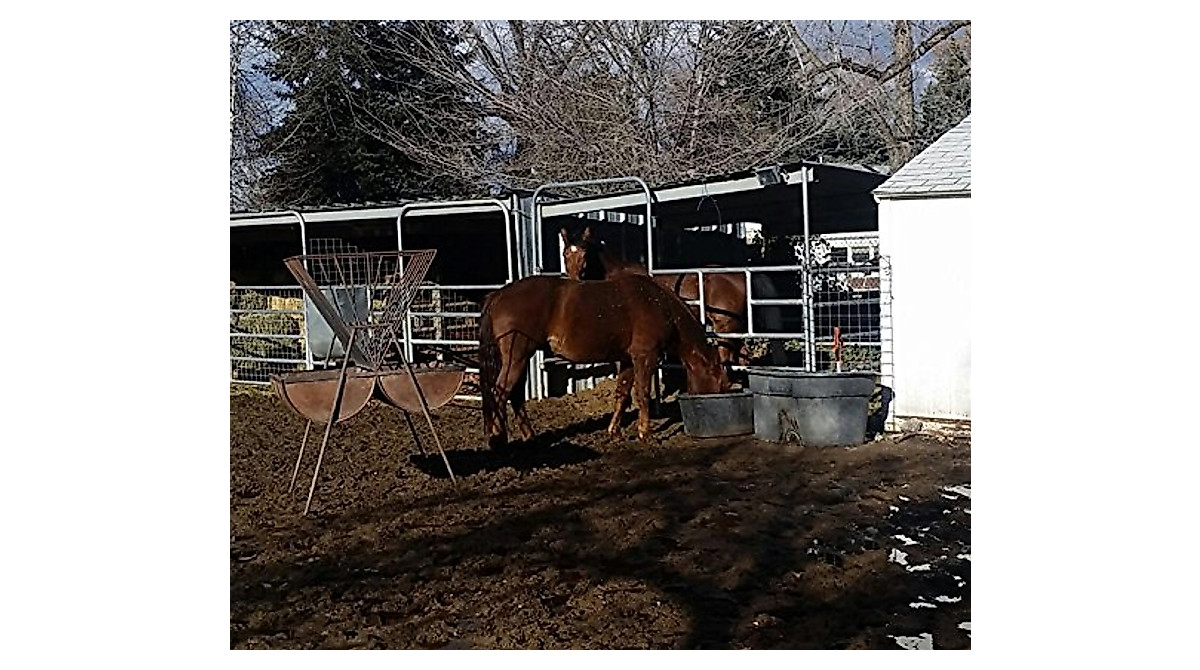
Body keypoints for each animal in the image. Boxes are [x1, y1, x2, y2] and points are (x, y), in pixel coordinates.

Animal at [478, 273, 730, 447]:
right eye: (720, 382)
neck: (659, 305)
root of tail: (499, 294)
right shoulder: (645, 357)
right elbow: (642, 395)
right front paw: (645, 433)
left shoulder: (628, 360)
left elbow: (622, 395)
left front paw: (615, 431)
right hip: (516, 357)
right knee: (500, 393)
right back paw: (498, 438)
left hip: (522, 358)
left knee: (515, 395)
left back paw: (529, 437)